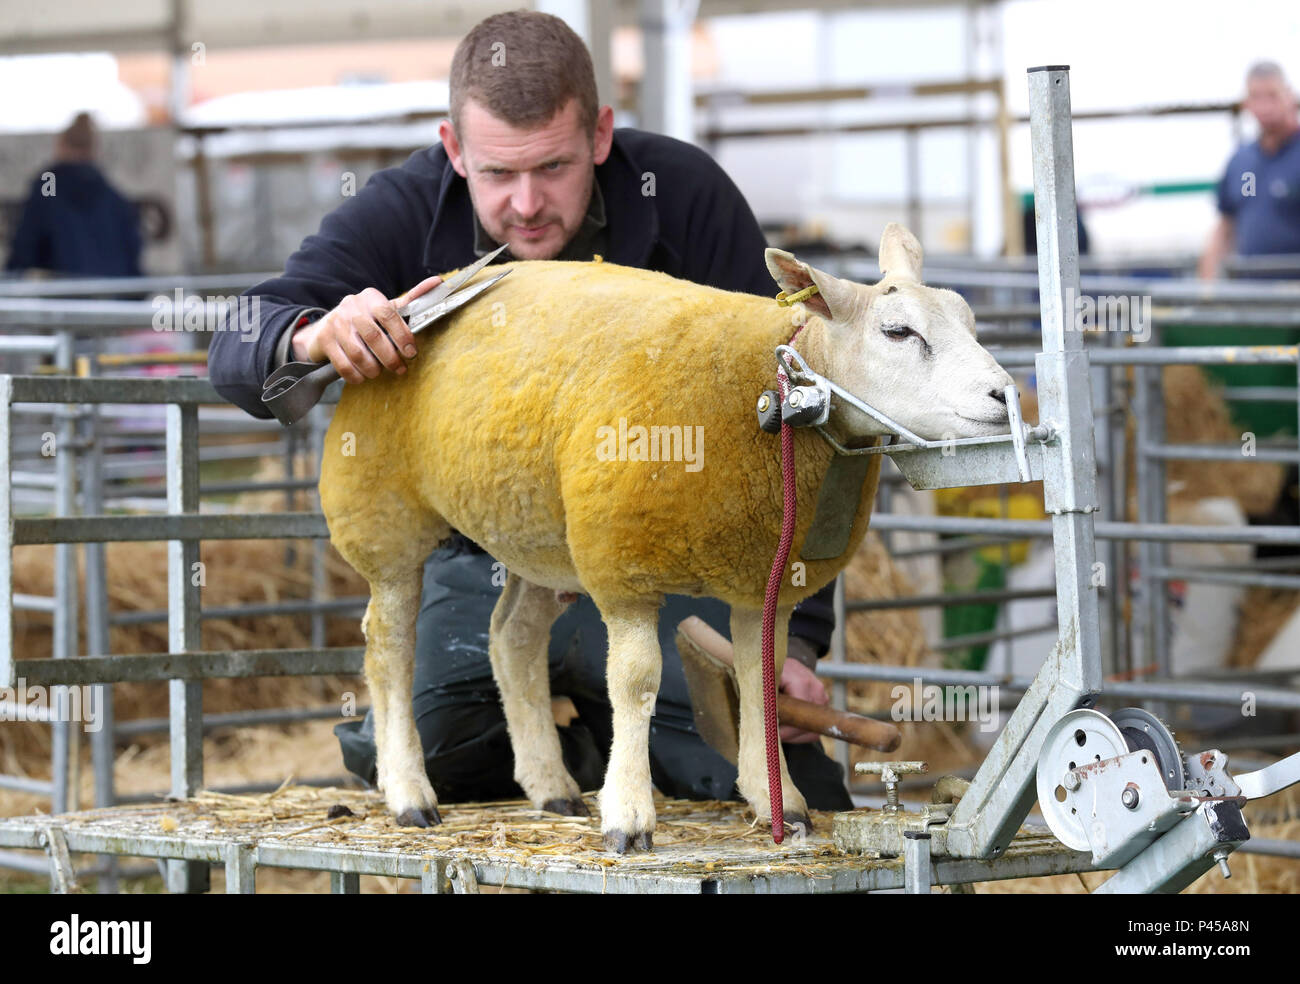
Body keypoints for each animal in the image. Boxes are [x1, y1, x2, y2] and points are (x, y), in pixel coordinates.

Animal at [318, 222, 1013, 852]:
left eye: (970, 321)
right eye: (898, 332)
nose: (1005, 395)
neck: (776, 392)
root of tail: (411, 302)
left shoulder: (760, 578)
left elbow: (760, 681)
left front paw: (778, 804)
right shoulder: (622, 565)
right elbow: (635, 681)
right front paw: (628, 815)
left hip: (543, 532)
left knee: (512, 638)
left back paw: (551, 785)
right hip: (384, 518)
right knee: (388, 648)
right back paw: (409, 793)